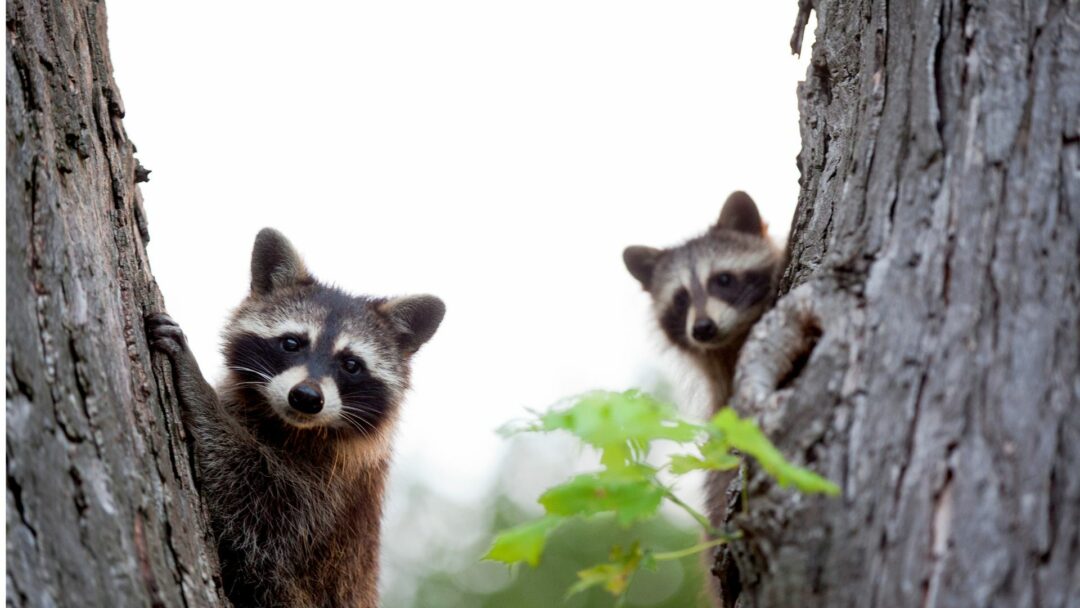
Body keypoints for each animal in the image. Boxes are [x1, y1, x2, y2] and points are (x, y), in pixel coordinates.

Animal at [147, 228, 444, 608]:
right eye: (291, 343)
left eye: (351, 364)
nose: (306, 397)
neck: (288, 424)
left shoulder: (330, 495)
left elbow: (255, 498)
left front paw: (198, 387)